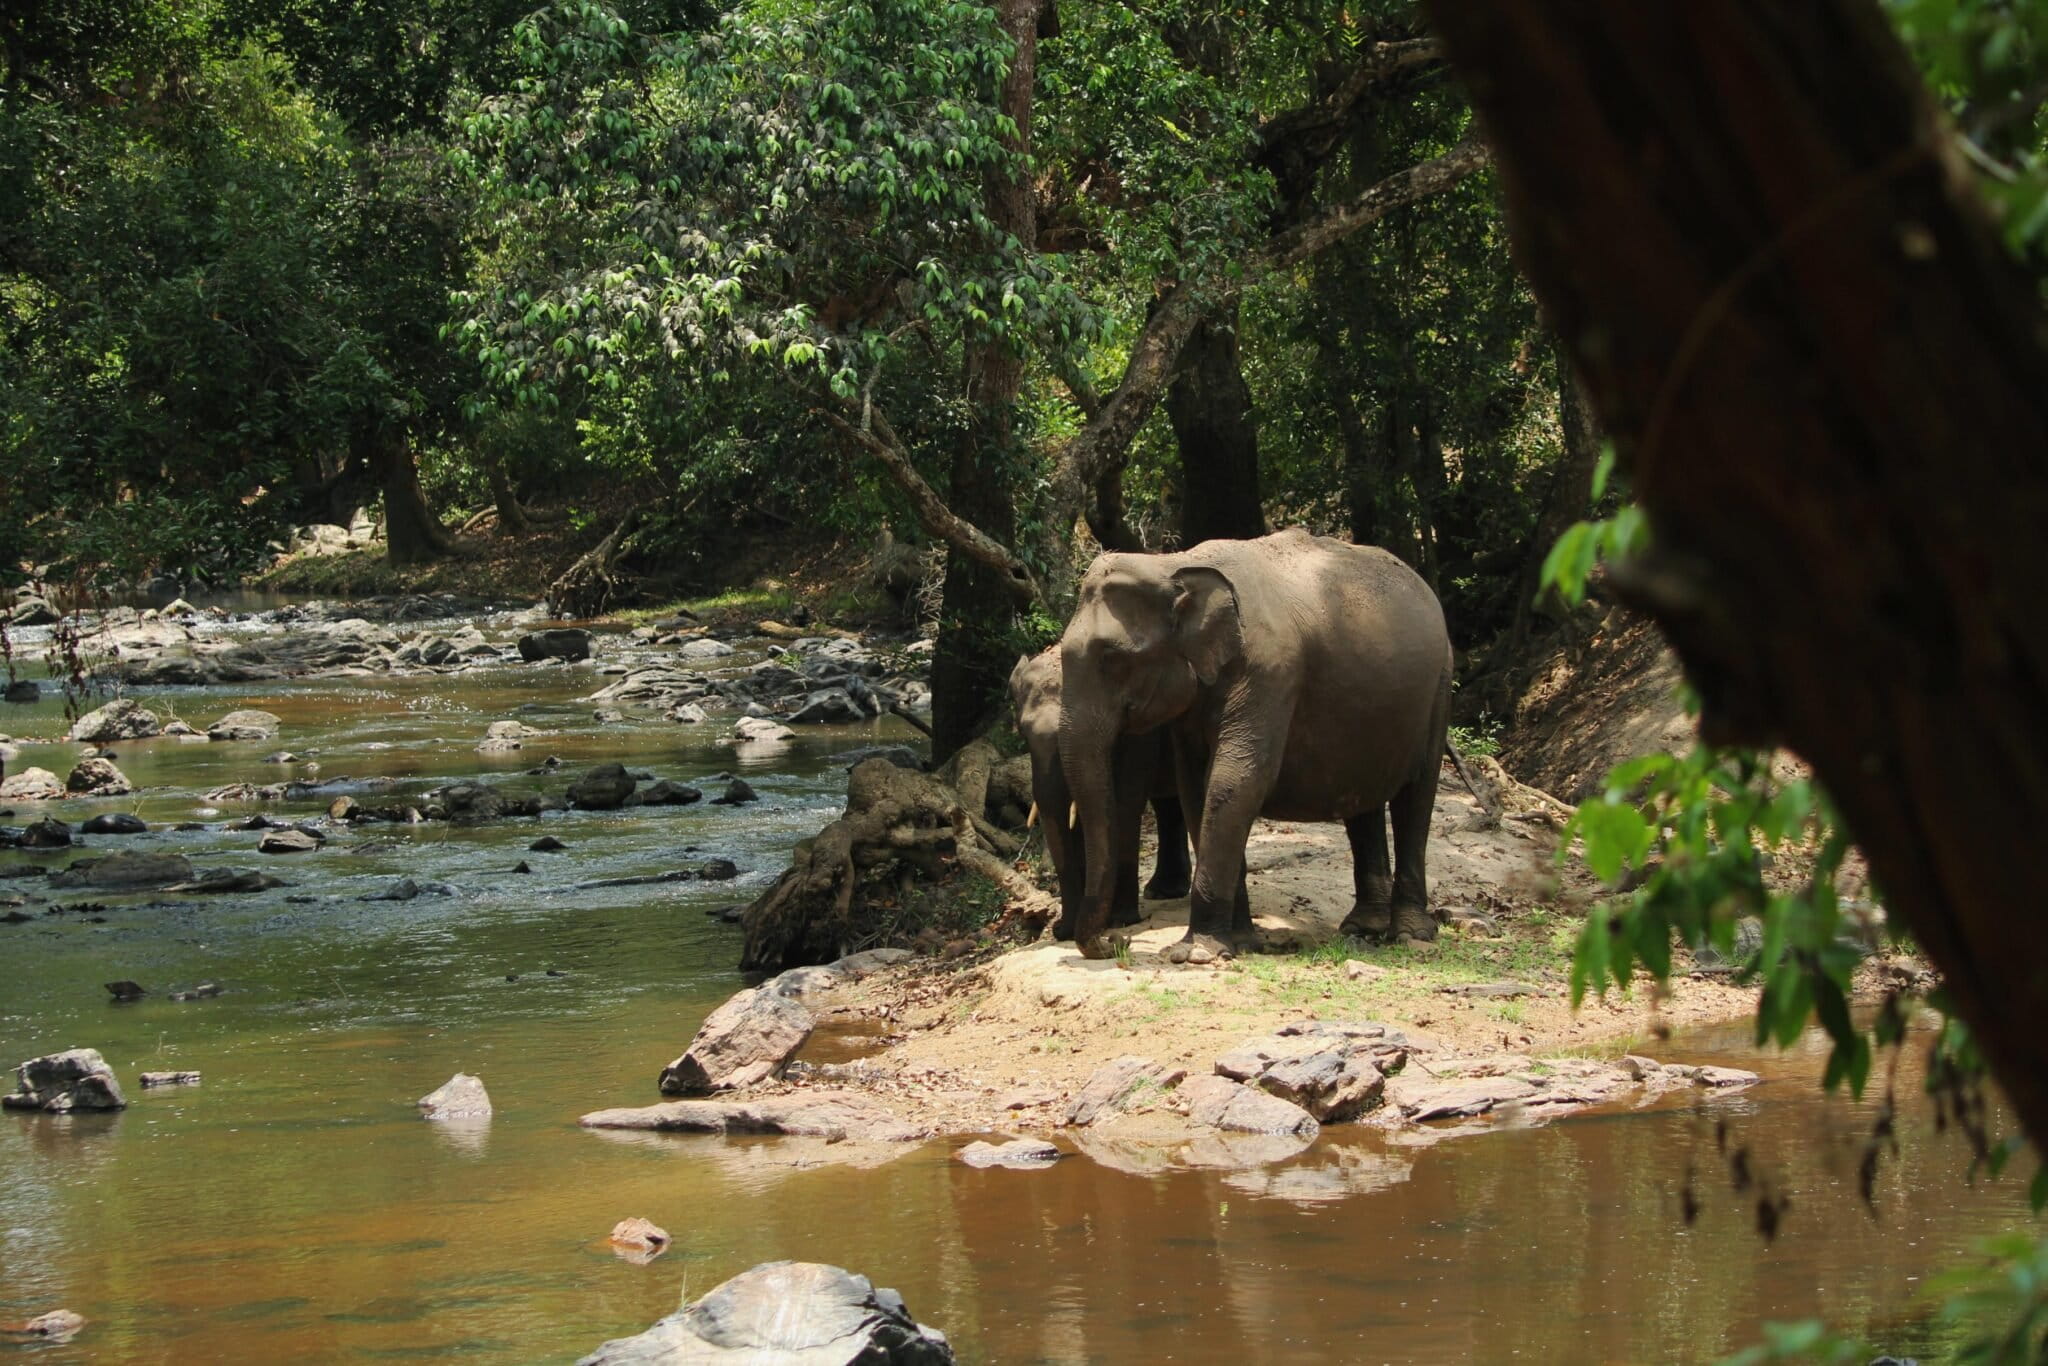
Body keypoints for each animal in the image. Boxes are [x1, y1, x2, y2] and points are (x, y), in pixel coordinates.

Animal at [1010, 648, 1192, 939]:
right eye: (1024, 734)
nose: (1061, 931)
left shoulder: (1138, 734)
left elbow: (1124, 805)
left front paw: (1119, 921)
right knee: (1168, 804)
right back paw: (1162, 891)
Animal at [1056, 528, 1452, 958]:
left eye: (1112, 658)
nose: (1117, 940)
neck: (1175, 564)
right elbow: (1194, 787)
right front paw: (1241, 942)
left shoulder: (1271, 672)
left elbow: (1235, 780)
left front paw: (1197, 952)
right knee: (1362, 800)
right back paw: (1363, 928)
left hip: (1438, 690)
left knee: (1416, 795)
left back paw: (1410, 934)